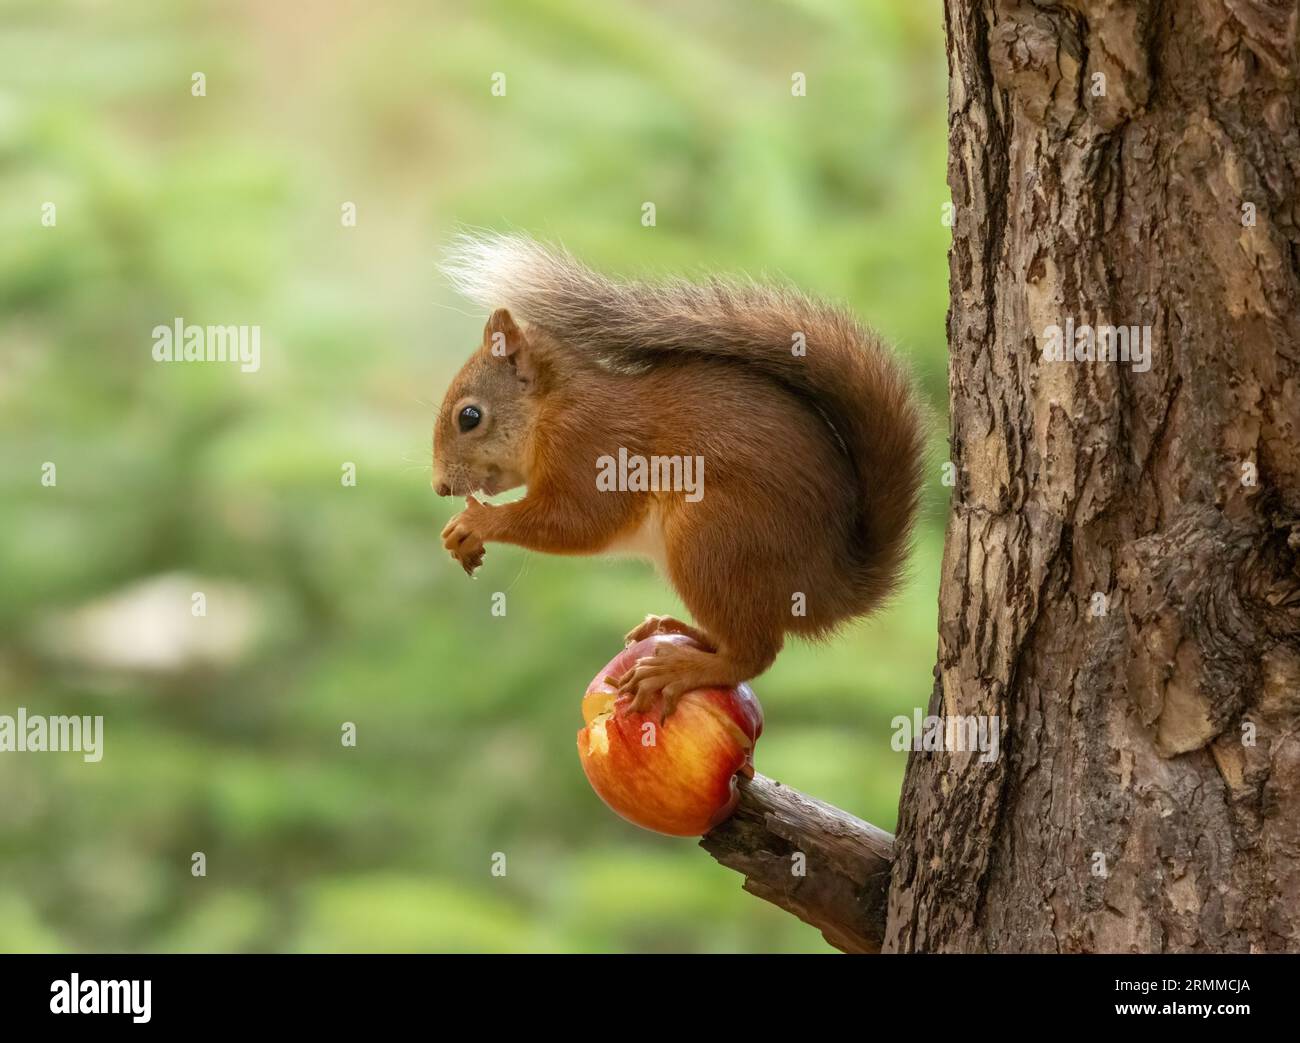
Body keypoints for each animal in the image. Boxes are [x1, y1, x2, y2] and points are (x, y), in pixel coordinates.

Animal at [433, 234, 925, 714]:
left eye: (470, 416)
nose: (439, 487)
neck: (552, 408)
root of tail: (829, 584)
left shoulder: (592, 450)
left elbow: (578, 522)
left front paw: (476, 521)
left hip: (712, 539)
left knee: (754, 653)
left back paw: (683, 670)